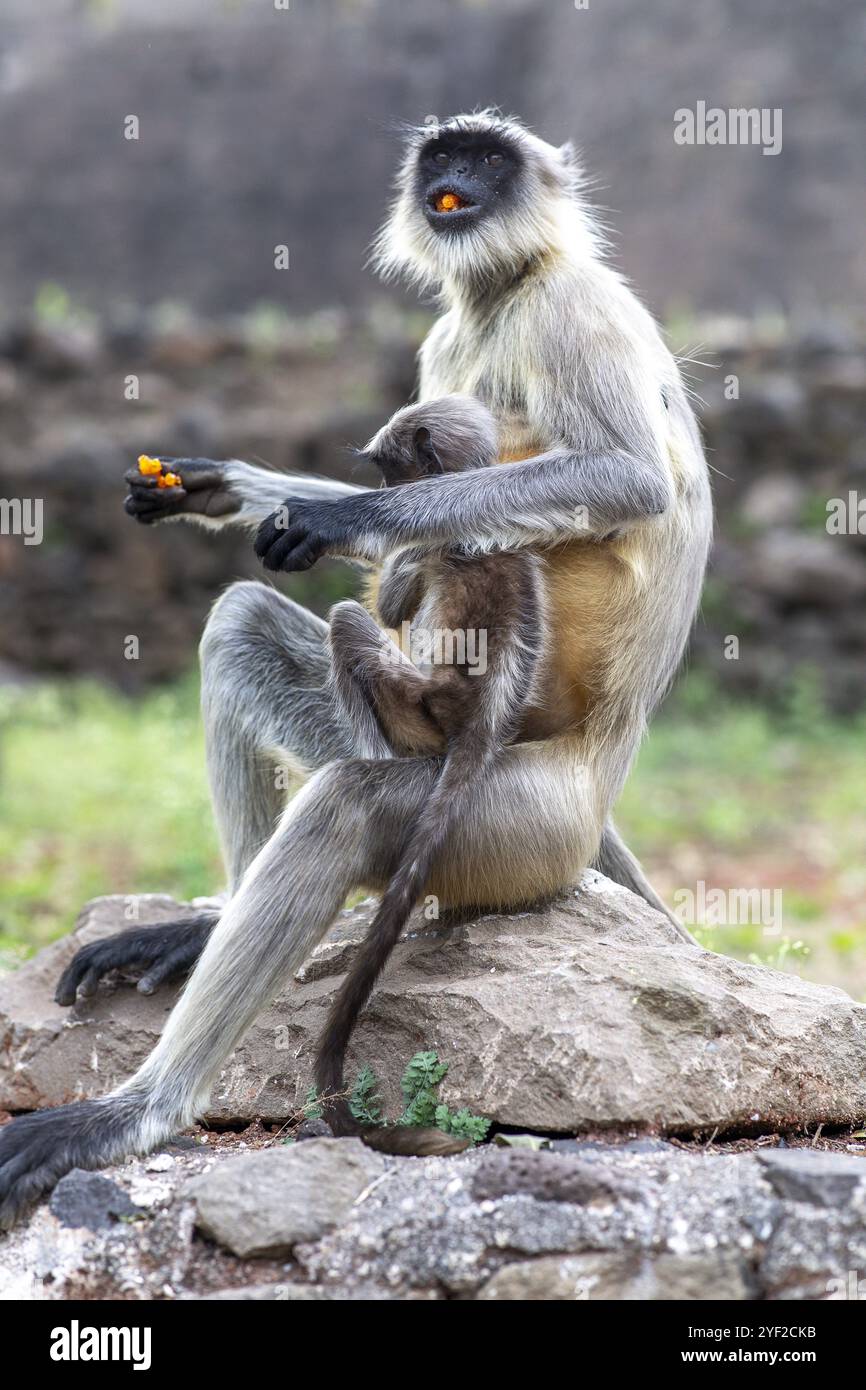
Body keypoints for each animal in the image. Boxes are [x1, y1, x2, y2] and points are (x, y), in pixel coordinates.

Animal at [318, 393, 549, 1148]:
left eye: (391, 470)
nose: (386, 496)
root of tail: (477, 718)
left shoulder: (427, 546)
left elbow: (391, 601)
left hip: (413, 705)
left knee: (349, 622)